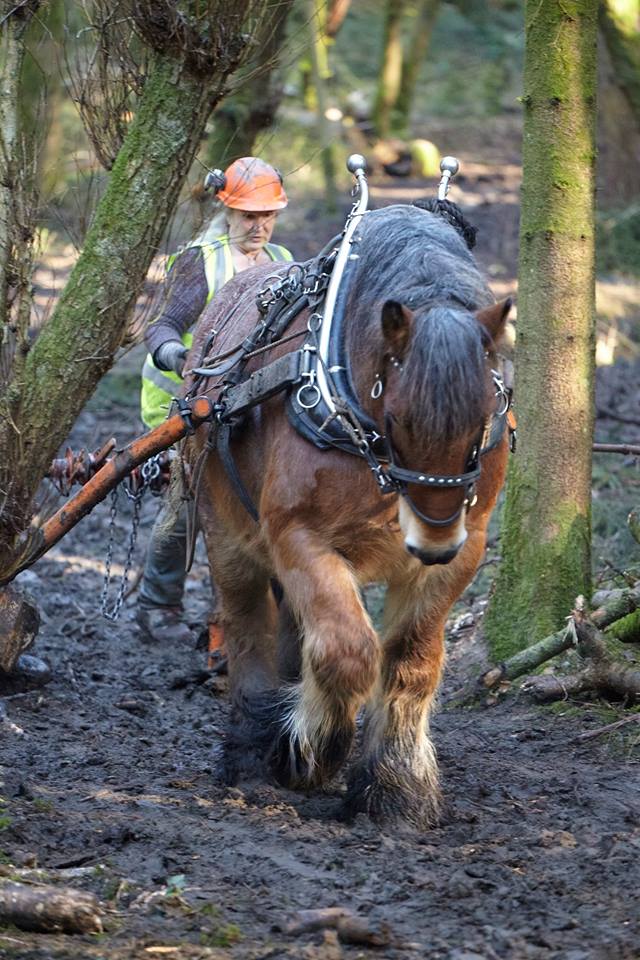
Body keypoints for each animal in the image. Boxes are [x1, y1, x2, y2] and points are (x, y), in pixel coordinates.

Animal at [181, 202, 511, 829]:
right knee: (248, 630)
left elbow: (412, 664)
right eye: (400, 417)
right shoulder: (298, 536)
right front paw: (309, 750)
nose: (433, 543)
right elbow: (347, 652)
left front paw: (396, 788)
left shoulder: (465, 548)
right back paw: (253, 748)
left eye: (486, 413)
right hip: (226, 531)